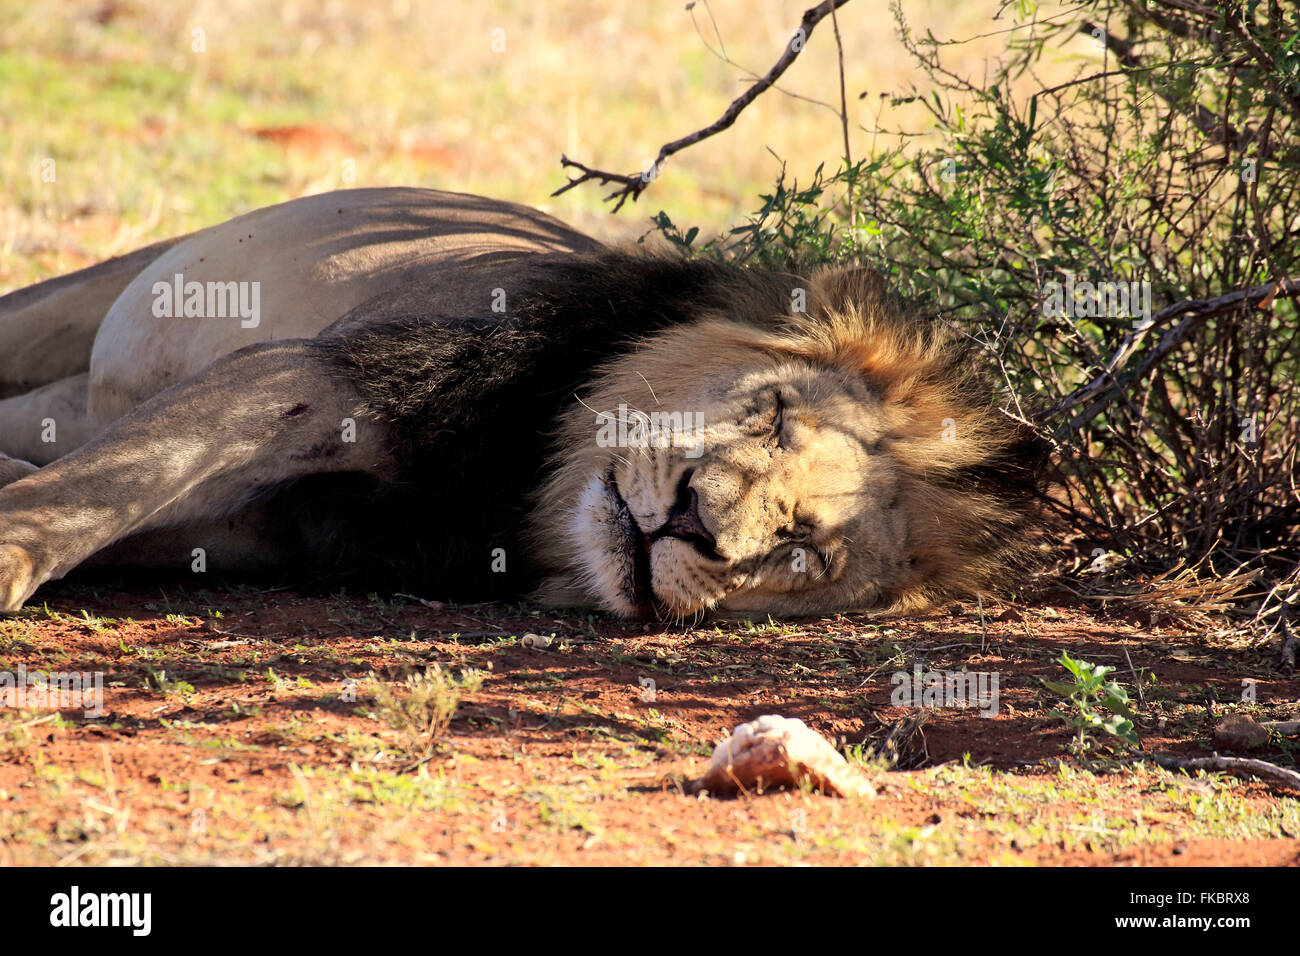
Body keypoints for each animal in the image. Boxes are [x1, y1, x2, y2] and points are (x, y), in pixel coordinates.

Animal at [0, 187, 1041, 618]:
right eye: (778, 413)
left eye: (805, 552)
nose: (698, 524)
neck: (524, 501)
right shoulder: (323, 374)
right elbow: (112, 483)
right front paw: (11, 553)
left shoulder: (266, 532)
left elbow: (128, 494)